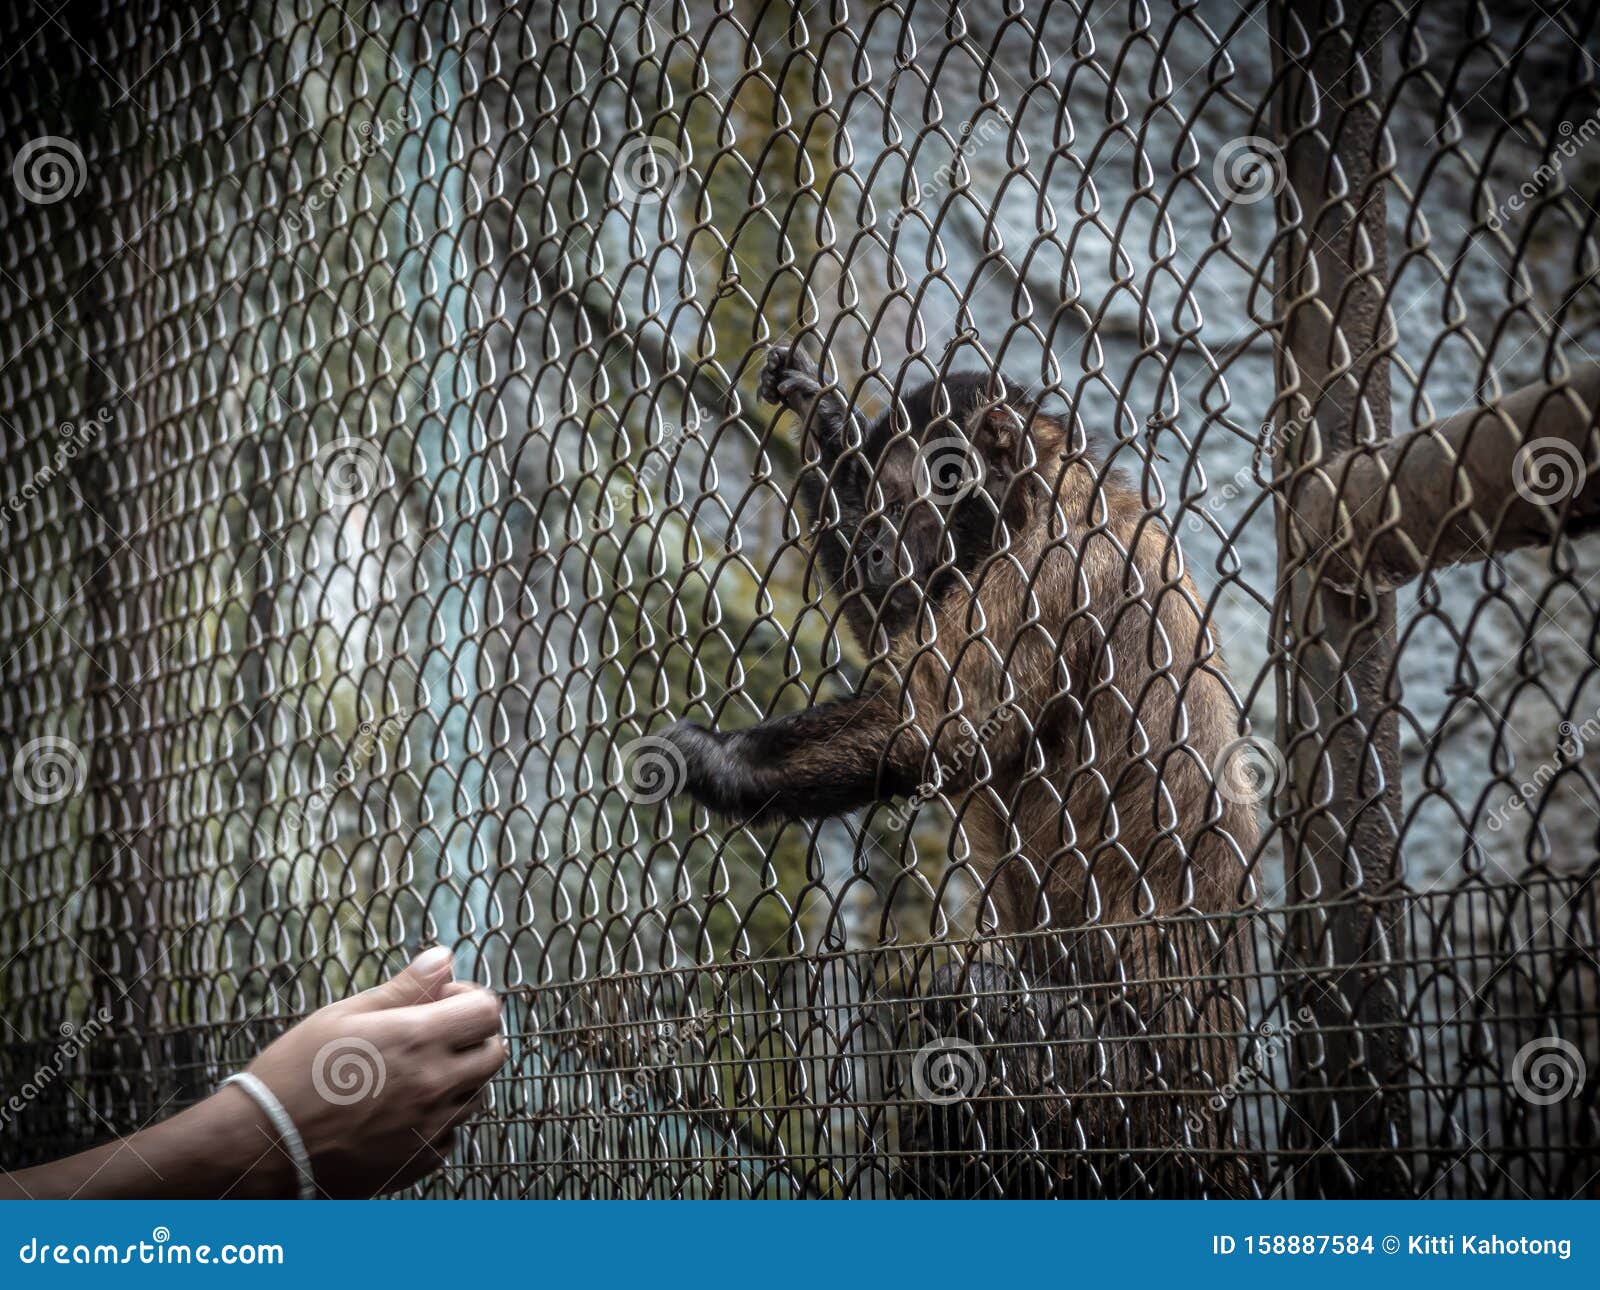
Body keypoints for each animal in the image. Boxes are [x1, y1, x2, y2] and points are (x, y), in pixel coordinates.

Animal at [661, 345, 1261, 1197]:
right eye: (873, 509)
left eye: (903, 499)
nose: (874, 546)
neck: (1036, 496)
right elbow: (894, 627)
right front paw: (825, 422)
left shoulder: (1055, 562)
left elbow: (934, 725)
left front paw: (713, 761)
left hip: (1128, 1100)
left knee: (967, 1004)